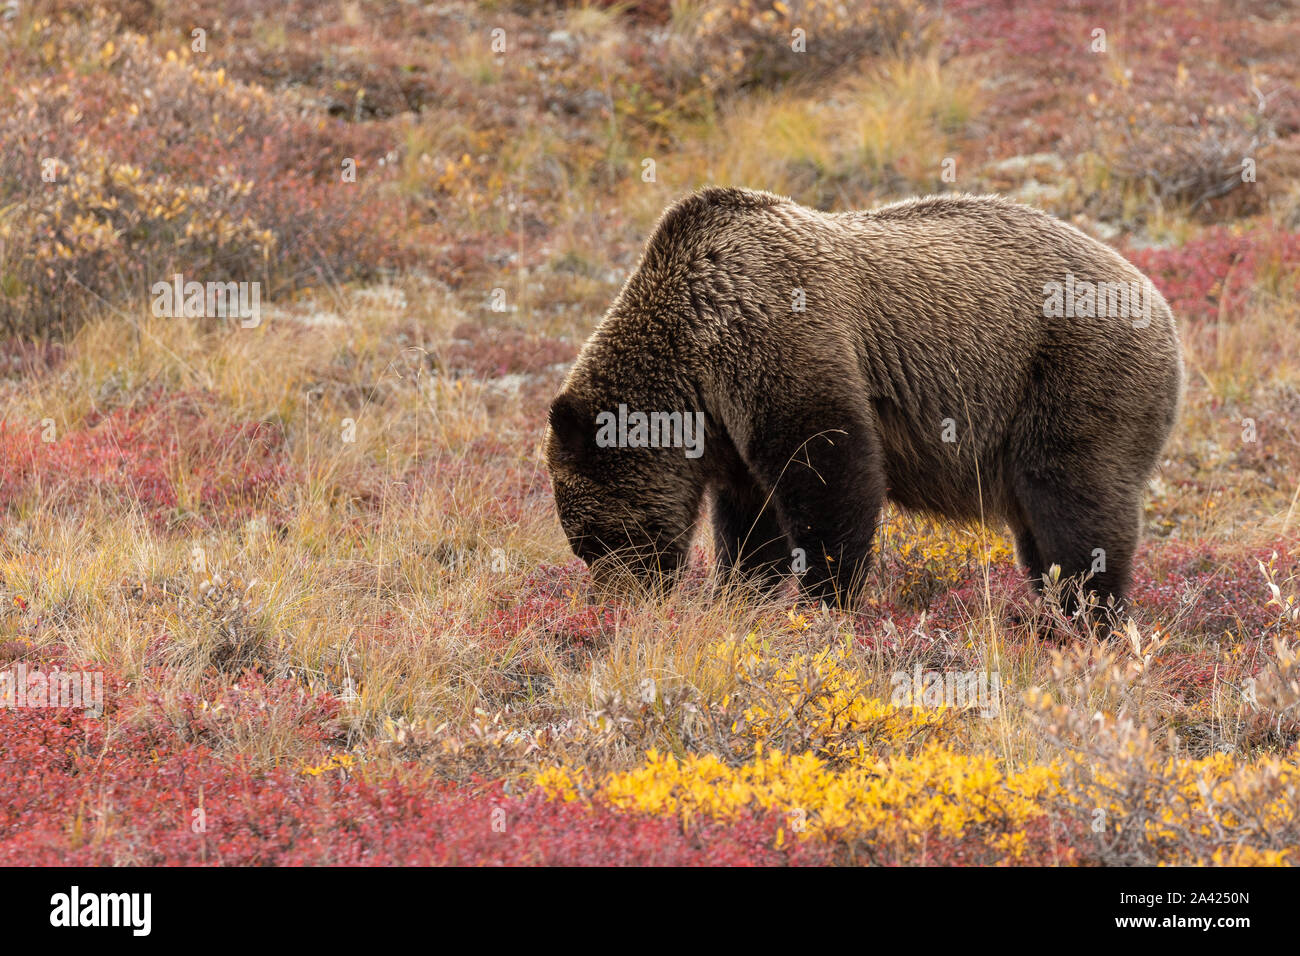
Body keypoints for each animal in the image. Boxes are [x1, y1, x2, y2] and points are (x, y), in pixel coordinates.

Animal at [545, 186, 1183, 619]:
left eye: (594, 542)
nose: (618, 605)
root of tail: (1153, 294)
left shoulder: (781, 343)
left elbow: (830, 473)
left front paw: (825, 601)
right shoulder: (732, 421)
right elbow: (752, 522)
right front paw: (741, 596)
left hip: (1071, 375)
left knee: (1073, 503)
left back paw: (1088, 613)